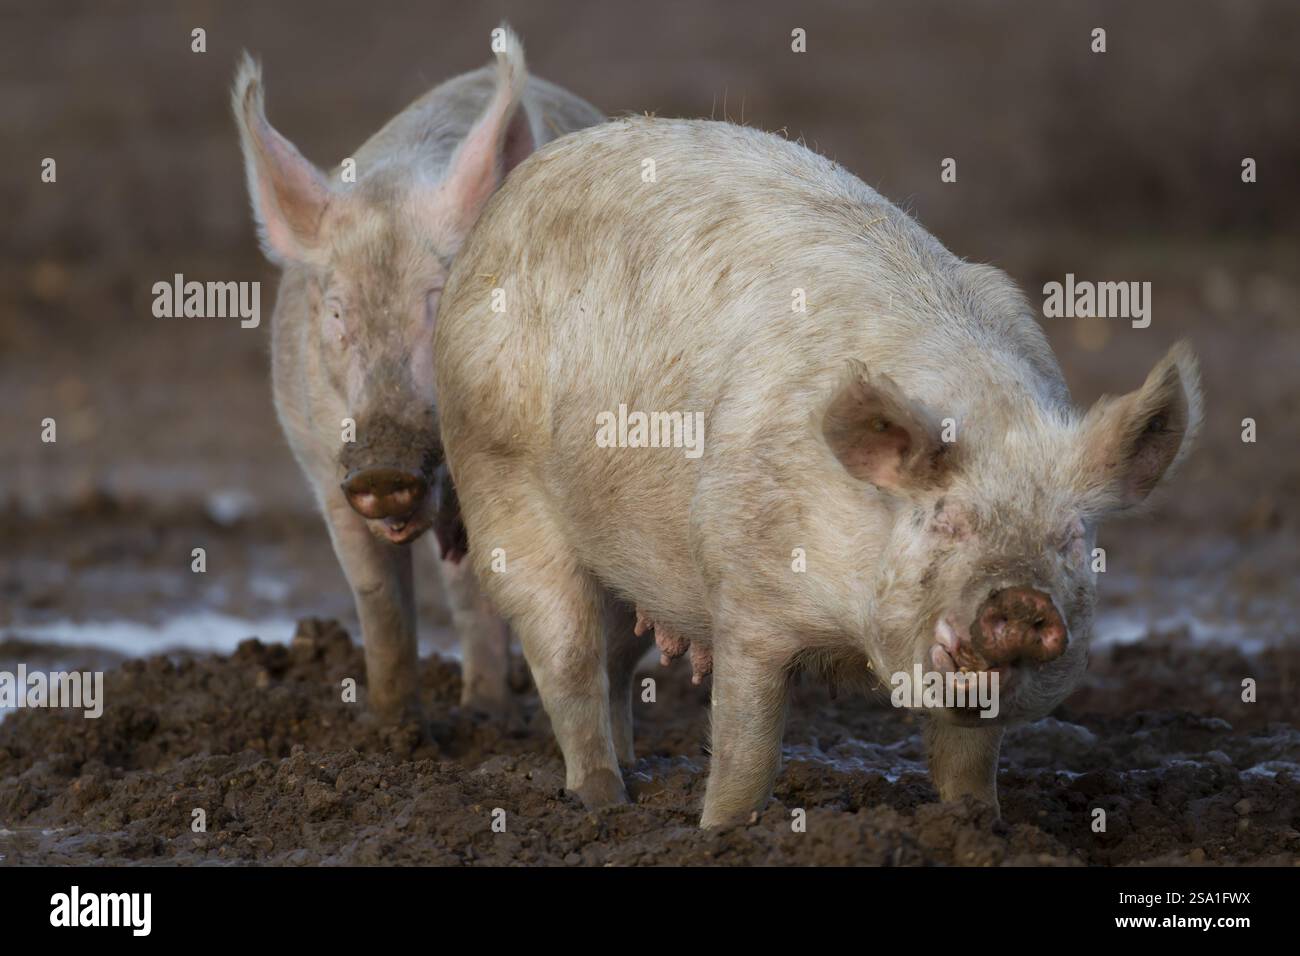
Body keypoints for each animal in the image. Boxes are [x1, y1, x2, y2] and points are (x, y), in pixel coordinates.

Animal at [231, 28, 602, 722]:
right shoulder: (323, 468)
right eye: (336, 312)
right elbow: (379, 602)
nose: (383, 464)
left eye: (440, 301)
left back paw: (488, 712)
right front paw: (392, 722)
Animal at [433, 118, 1202, 825]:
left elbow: (968, 758)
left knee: (618, 658)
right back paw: (603, 803)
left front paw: (977, 825)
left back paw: (633, 778)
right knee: (565, 656)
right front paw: (720, 831)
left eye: (1069, 539)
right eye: (945, 521)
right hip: (494, 471)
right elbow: (746, 744)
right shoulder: (745, 592)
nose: (1018, 599)